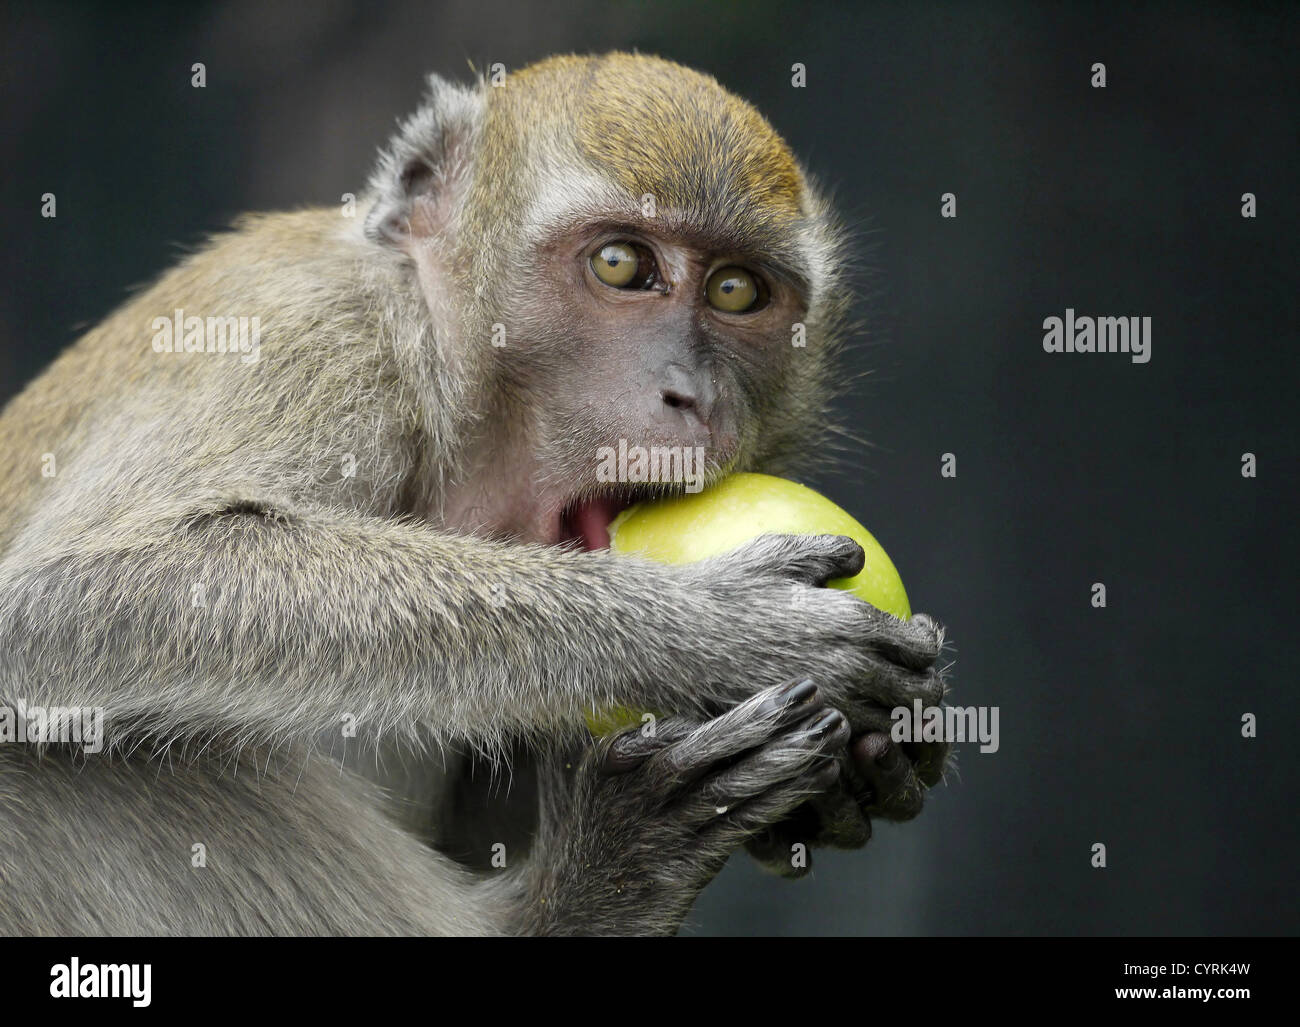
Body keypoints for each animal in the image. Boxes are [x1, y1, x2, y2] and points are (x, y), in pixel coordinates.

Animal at [0, 52, 949, 936]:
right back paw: (577, 899)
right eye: (621, 263)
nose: (691, 395)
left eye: (736, 290)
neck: (423, 343)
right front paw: (715, 630)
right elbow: (64, 597)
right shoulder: (303, 335)